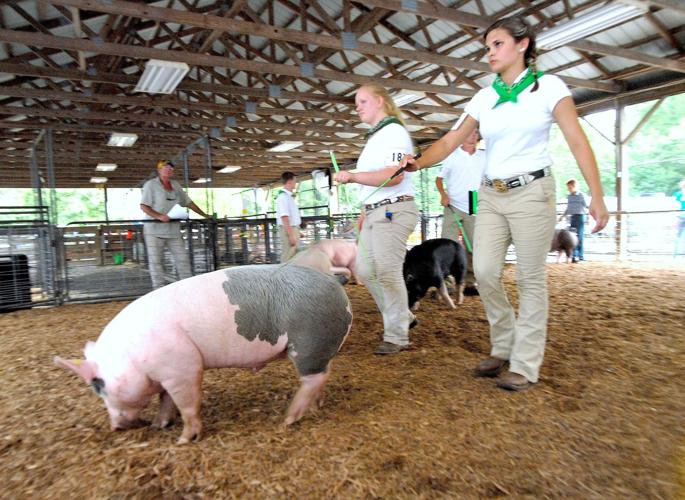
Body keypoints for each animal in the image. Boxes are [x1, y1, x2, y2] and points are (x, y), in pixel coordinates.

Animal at [54, 264, 353, 444]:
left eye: (99, 387)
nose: (115, 427)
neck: (131, 356)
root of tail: (335, 284)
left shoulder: (183, 368)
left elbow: (187, 403)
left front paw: (184, 439)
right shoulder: (167, 373)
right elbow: (166, 400)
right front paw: (159, 425)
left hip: (308, 342)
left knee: (313, 378)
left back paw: (287, 419)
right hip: (318, 348)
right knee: (323, 375)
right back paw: (313, 408)